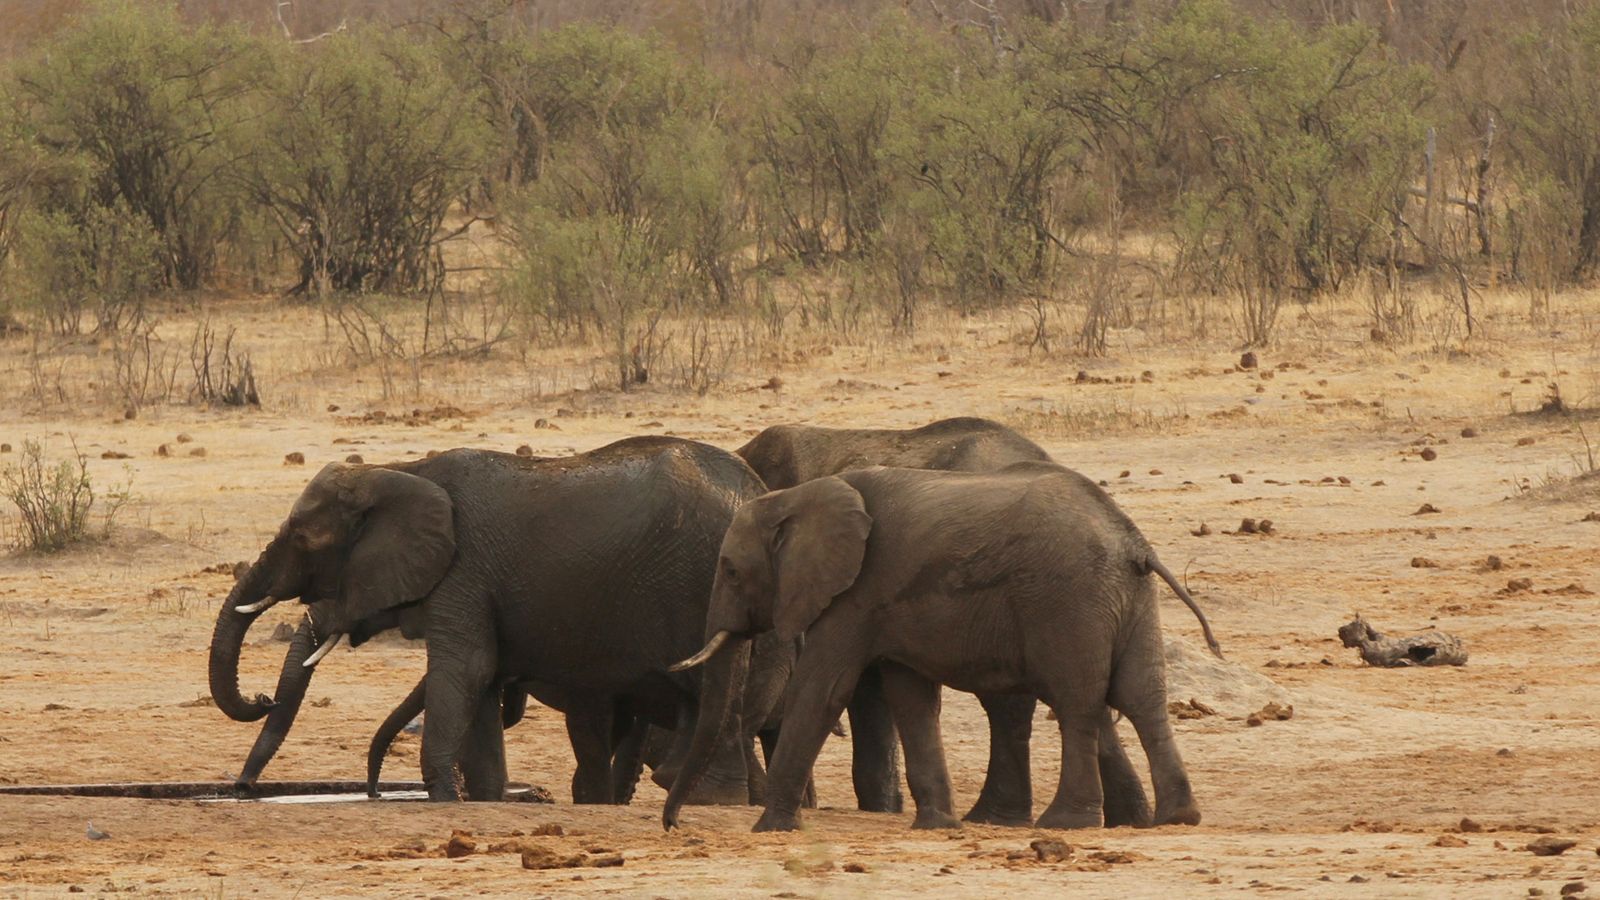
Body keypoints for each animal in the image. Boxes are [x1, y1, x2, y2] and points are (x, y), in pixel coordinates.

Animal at [207, 436, 770, 803]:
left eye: (303, 537)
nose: (262, 697)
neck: (400, 469)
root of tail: (753, 488)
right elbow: (482, 683)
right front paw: (481, 799)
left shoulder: (465, 570)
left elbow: (467, 670)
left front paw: (443, 798)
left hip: (699, 583)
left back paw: (710, 800)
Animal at [663, 462, 1214, 833]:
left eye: (731, 571)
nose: (674, 825)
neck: (796, 496)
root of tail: (1134, 543)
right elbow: (912, 701)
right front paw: (938, 826)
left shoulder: (856, 593)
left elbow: (822, 691)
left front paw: (771, 829)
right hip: (1127, 600)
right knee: (1141, 698)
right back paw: (1177, 817)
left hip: (1069, 600)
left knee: (1078, 702)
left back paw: (1064, 824)